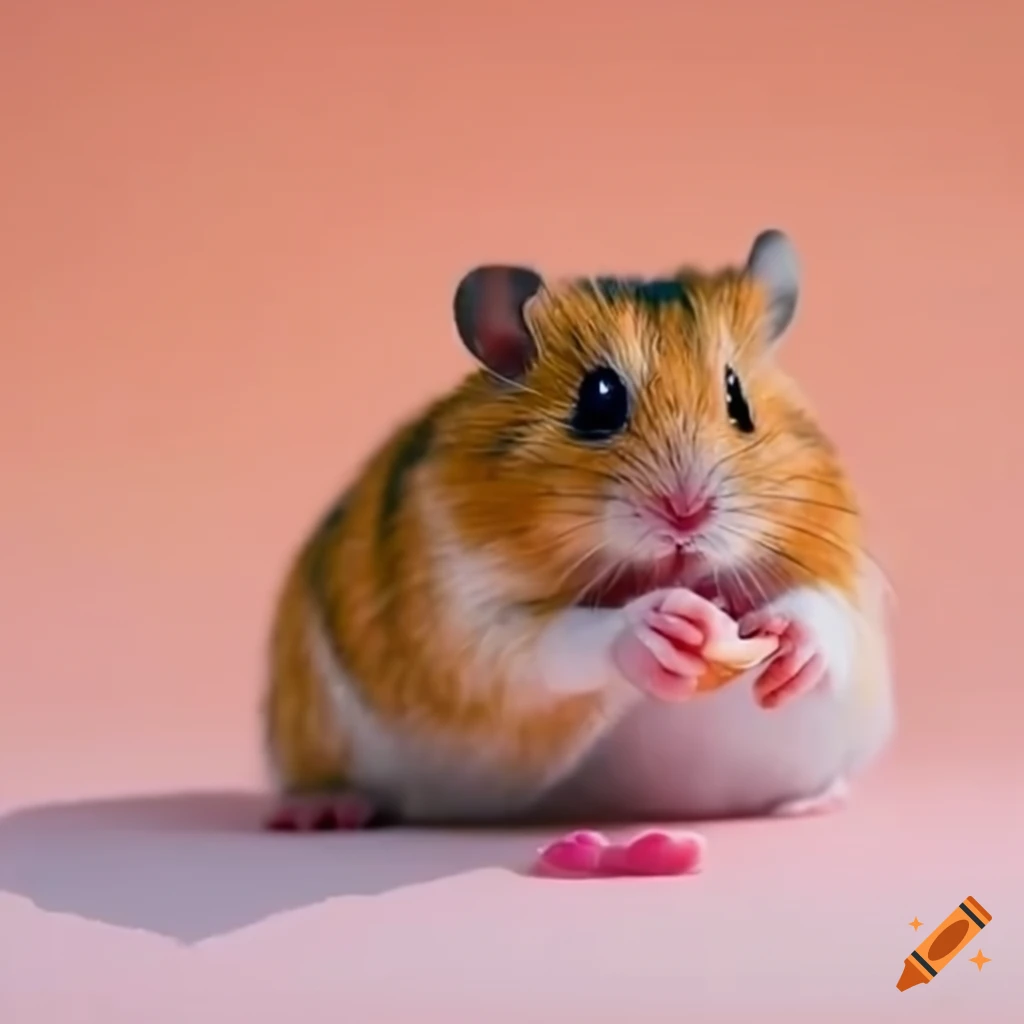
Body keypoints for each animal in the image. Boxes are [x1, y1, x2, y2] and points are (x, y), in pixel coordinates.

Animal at [261, 229, 894, 830]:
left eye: (738, 400)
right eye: (599, 400)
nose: (686, 514)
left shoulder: (845, 583)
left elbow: (828, 613)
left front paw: (791, 642)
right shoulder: (467, 626)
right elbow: (557, 641)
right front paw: (658, 630)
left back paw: (816, 801)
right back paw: (321, 811)